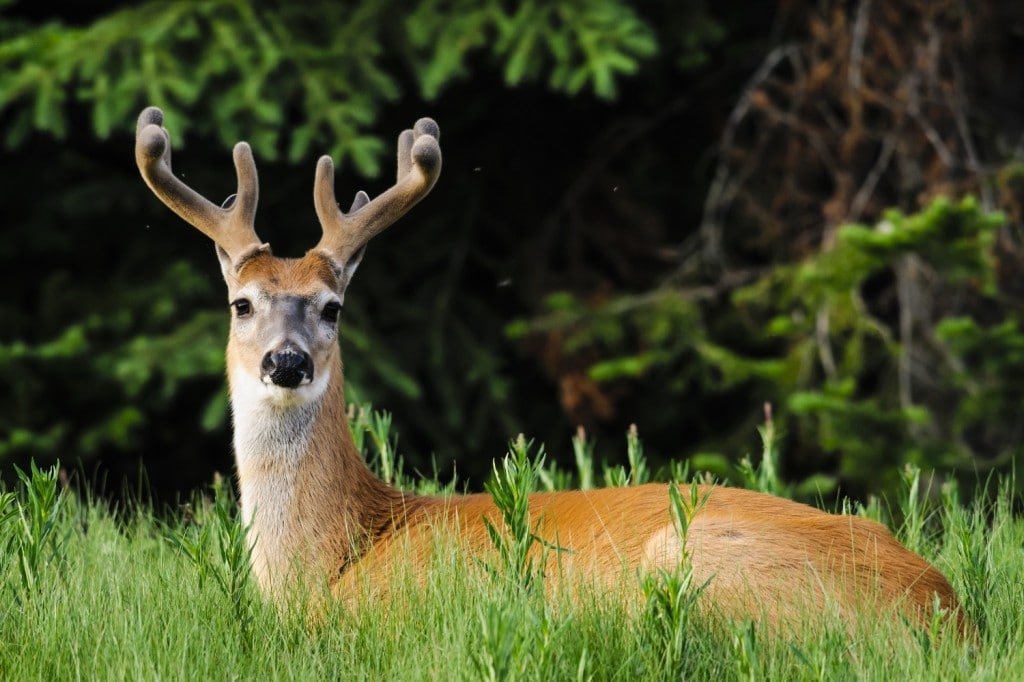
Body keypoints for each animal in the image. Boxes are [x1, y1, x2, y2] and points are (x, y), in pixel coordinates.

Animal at [134, 105, 965, 634]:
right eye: (242, 303)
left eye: (331, 307)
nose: (286, 360)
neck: (332, 560)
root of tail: (946, 614)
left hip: (688, 559)